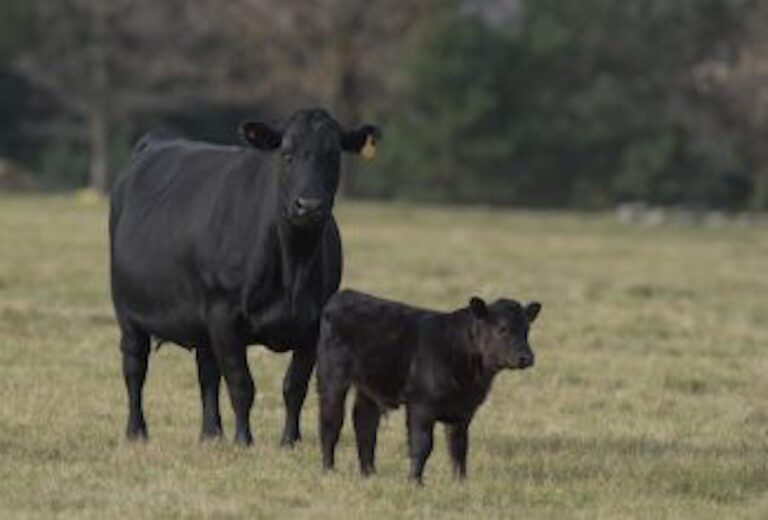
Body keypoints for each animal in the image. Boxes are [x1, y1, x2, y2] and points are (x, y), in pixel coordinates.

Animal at [109, 109, 379, 446]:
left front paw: (289, 441)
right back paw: (136, 431)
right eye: (286, 154)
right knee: (135, 368)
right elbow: (241, 384)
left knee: (207, 372)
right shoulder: (224, 315)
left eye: (332, 155)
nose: (309, 206)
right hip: (128, 313)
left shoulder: (314, 323)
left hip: (201, 323)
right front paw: (243, 440)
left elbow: (295, 385)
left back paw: (211, 433)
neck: (293, 267)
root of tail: (157, 140)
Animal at [316, 290, 541, 483]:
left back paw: (369, 473)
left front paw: (460, 482)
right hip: (331, 379)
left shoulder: (463, 411)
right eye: (502, 329)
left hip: (369, 388)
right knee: (331, 422)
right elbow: (423, 444)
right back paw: (328, 470)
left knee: (365, 425)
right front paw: (415, 481)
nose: (526, 358)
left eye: (527, 330)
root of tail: (345, 295)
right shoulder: (421, 405)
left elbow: (459, 446)